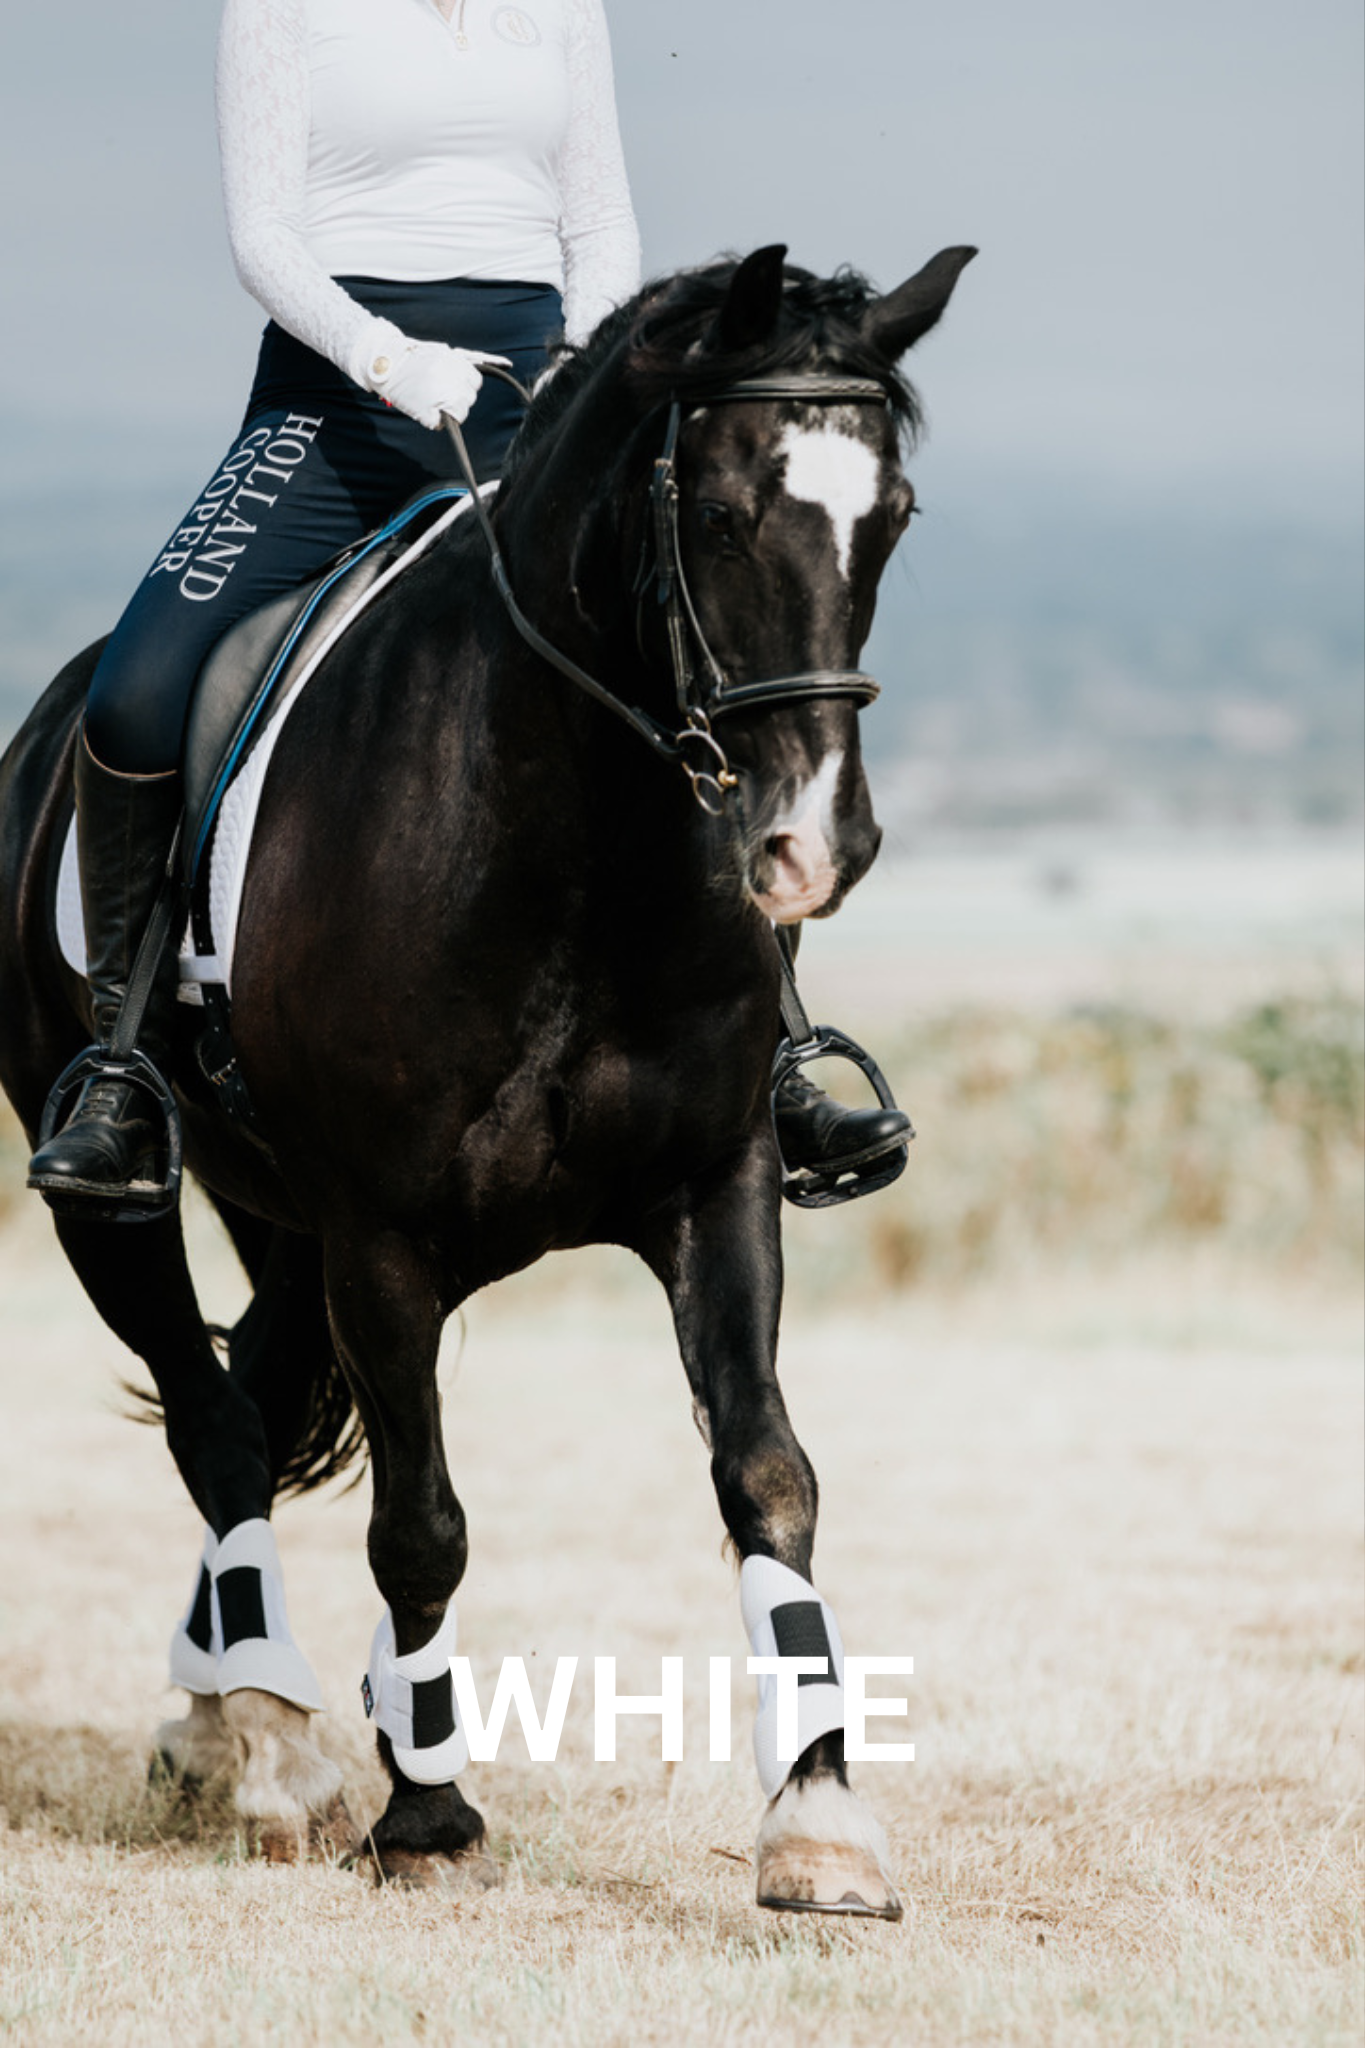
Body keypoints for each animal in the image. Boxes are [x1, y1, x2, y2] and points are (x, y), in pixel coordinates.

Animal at [0, 243, 975, 1914]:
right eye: (723, 513)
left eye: (891, 517)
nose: (813, 849)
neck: (570, 836)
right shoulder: (385, 1236)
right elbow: (423, 1526)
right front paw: (428, 1816)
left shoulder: (714, 1191)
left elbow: (766, 1473)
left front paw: (819, 1823)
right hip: (116, 1196)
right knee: (214, 1422)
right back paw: (275, 1747)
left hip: (284, 1222)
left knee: (255, 1399)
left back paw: (224, 1713)